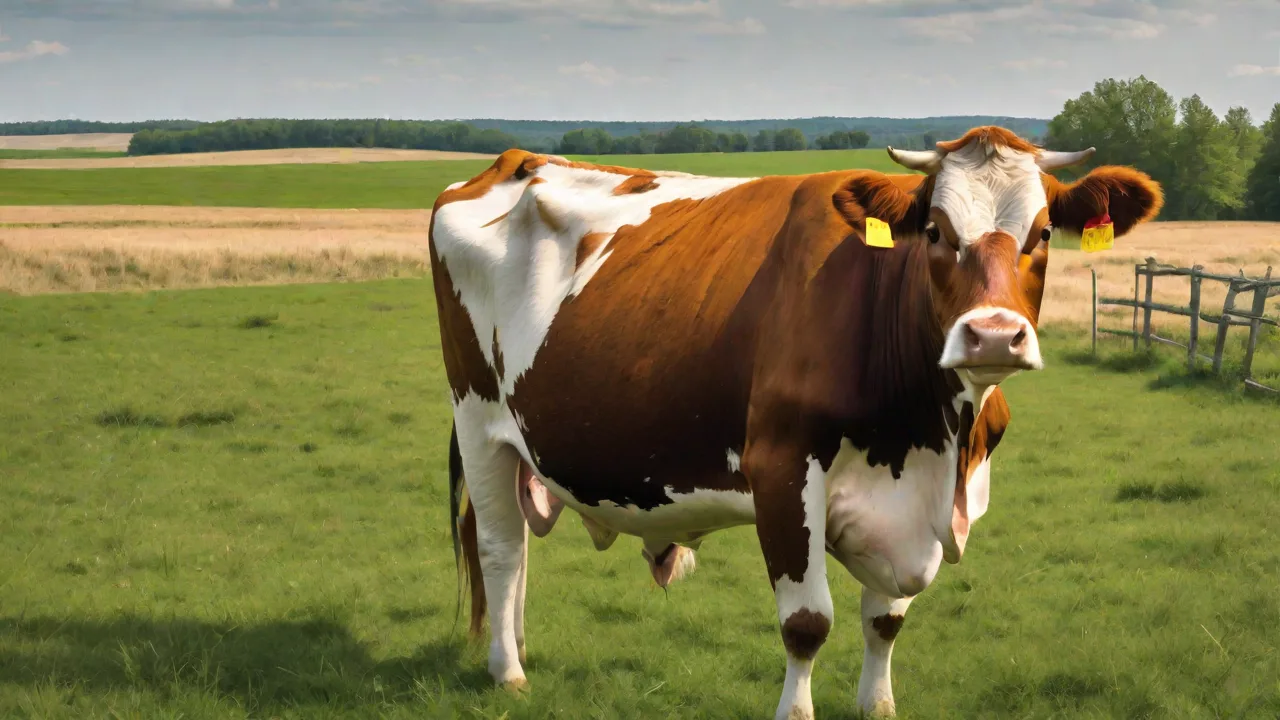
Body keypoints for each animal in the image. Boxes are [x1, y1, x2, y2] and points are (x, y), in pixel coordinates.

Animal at [429, 126, 1162, 719]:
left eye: (1042, 235)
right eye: (935, 232)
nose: (992, 336)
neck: (932, 445)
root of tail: (517, 160)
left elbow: (885, 620)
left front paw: (878, 705)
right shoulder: (781, 471)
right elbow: (807, 623)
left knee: (519, 548)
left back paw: (518, 644)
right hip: (479, 416)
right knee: (501, 548)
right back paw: (508, 671)